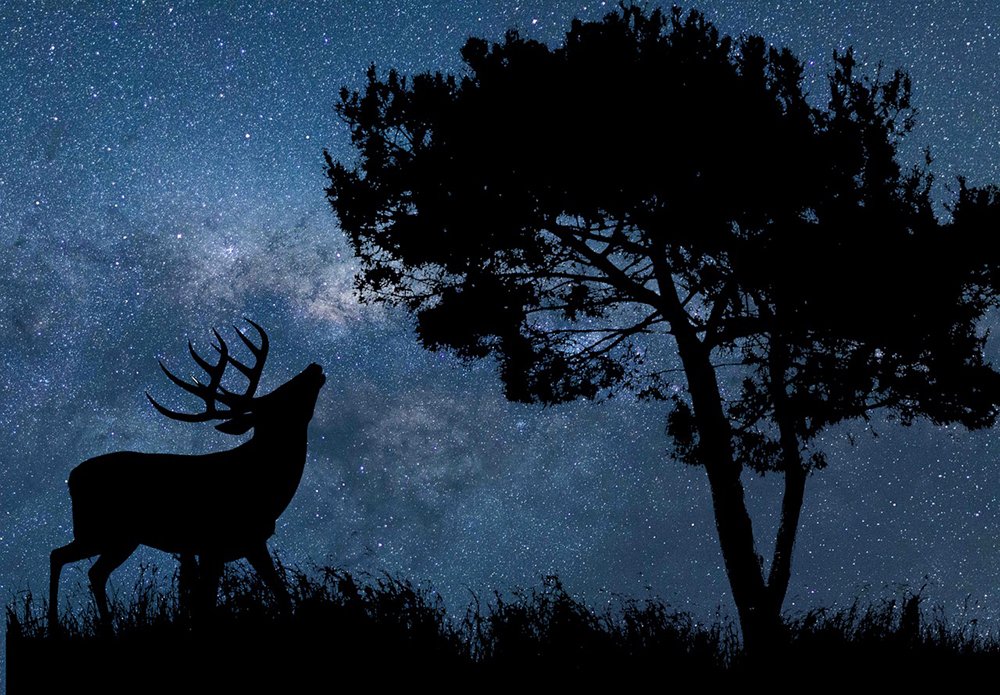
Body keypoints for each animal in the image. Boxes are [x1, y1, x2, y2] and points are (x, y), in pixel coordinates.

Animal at [48, 319, 326, 629]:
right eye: (280, 399)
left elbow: (280, 594)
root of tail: (71, 478)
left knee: (80, 565)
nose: (314, 367)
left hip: (111, 536)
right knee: (67, 559)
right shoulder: (211, 543)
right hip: (106, 531)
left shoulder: (251, 542)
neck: (270, 484)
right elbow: (207, 604)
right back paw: (60, 624)